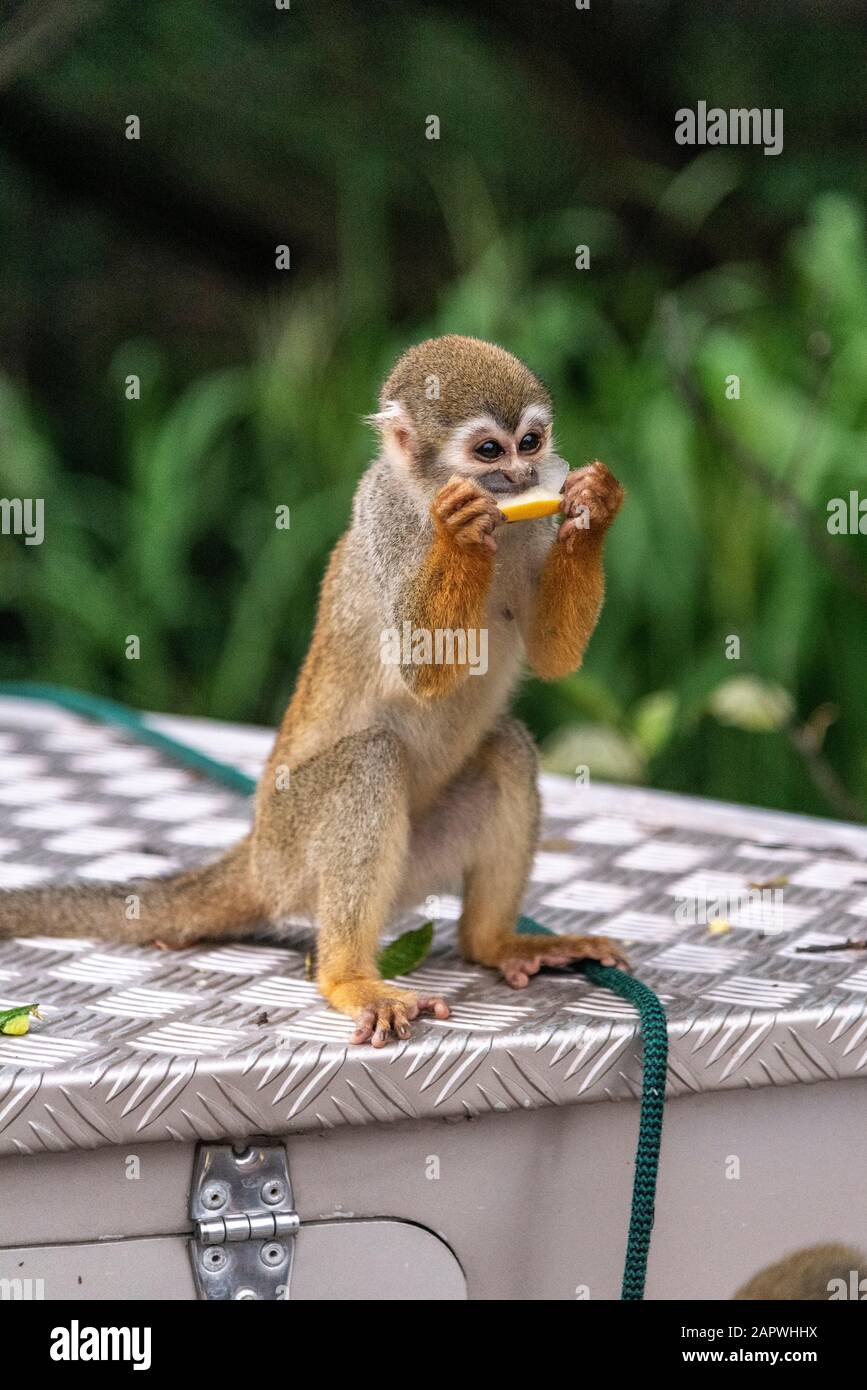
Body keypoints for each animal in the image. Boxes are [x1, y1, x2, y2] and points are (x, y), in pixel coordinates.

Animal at [0, 335, 627, 1047]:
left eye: (531, 441)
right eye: (490, 451)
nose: (523, 479)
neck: (426, 491)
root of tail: (256, 854)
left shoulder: (531, 523)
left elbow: (553, 656)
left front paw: (594, 507)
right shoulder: (386, 517)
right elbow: (421, 665)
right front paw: (459, 528)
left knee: (507, 749)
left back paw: (493, 943)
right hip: (294, 851)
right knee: (369, 760)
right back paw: (348, 976)